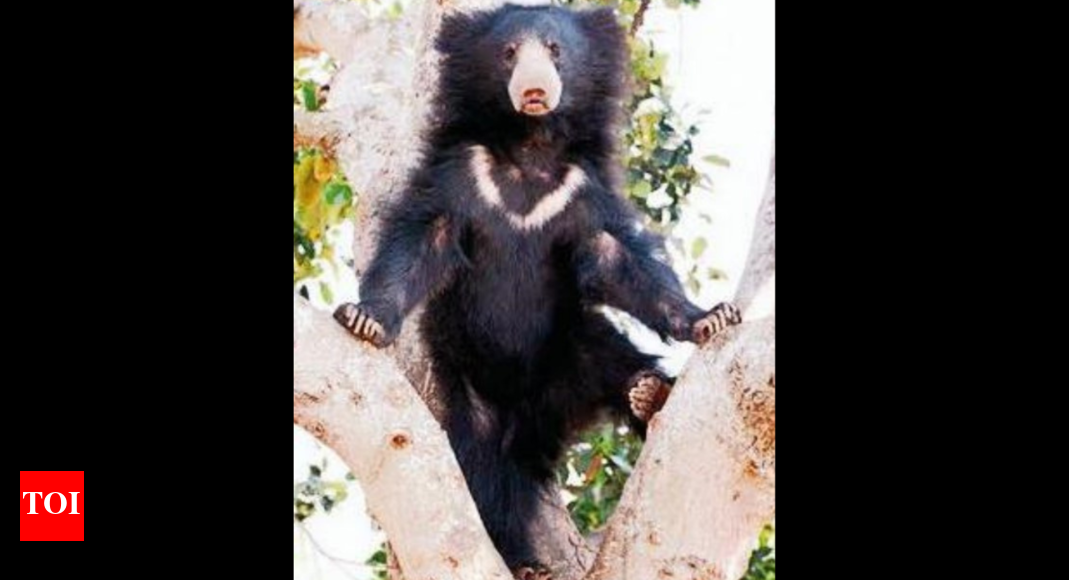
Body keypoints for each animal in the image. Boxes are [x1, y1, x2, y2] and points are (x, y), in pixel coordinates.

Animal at [333, 4, 741, 577]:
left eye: (554, 49)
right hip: (472, 389)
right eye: (508, 53)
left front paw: (710, 317)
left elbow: (617, 257)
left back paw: (648, 396)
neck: (529, 150)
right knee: (483, 472)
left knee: (618, 364)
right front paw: (364, 318)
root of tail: (539, 412)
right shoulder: (463, 174)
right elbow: (421, 242)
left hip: (578, 348)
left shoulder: (580, 190)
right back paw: (523, 560)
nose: (533, 90)